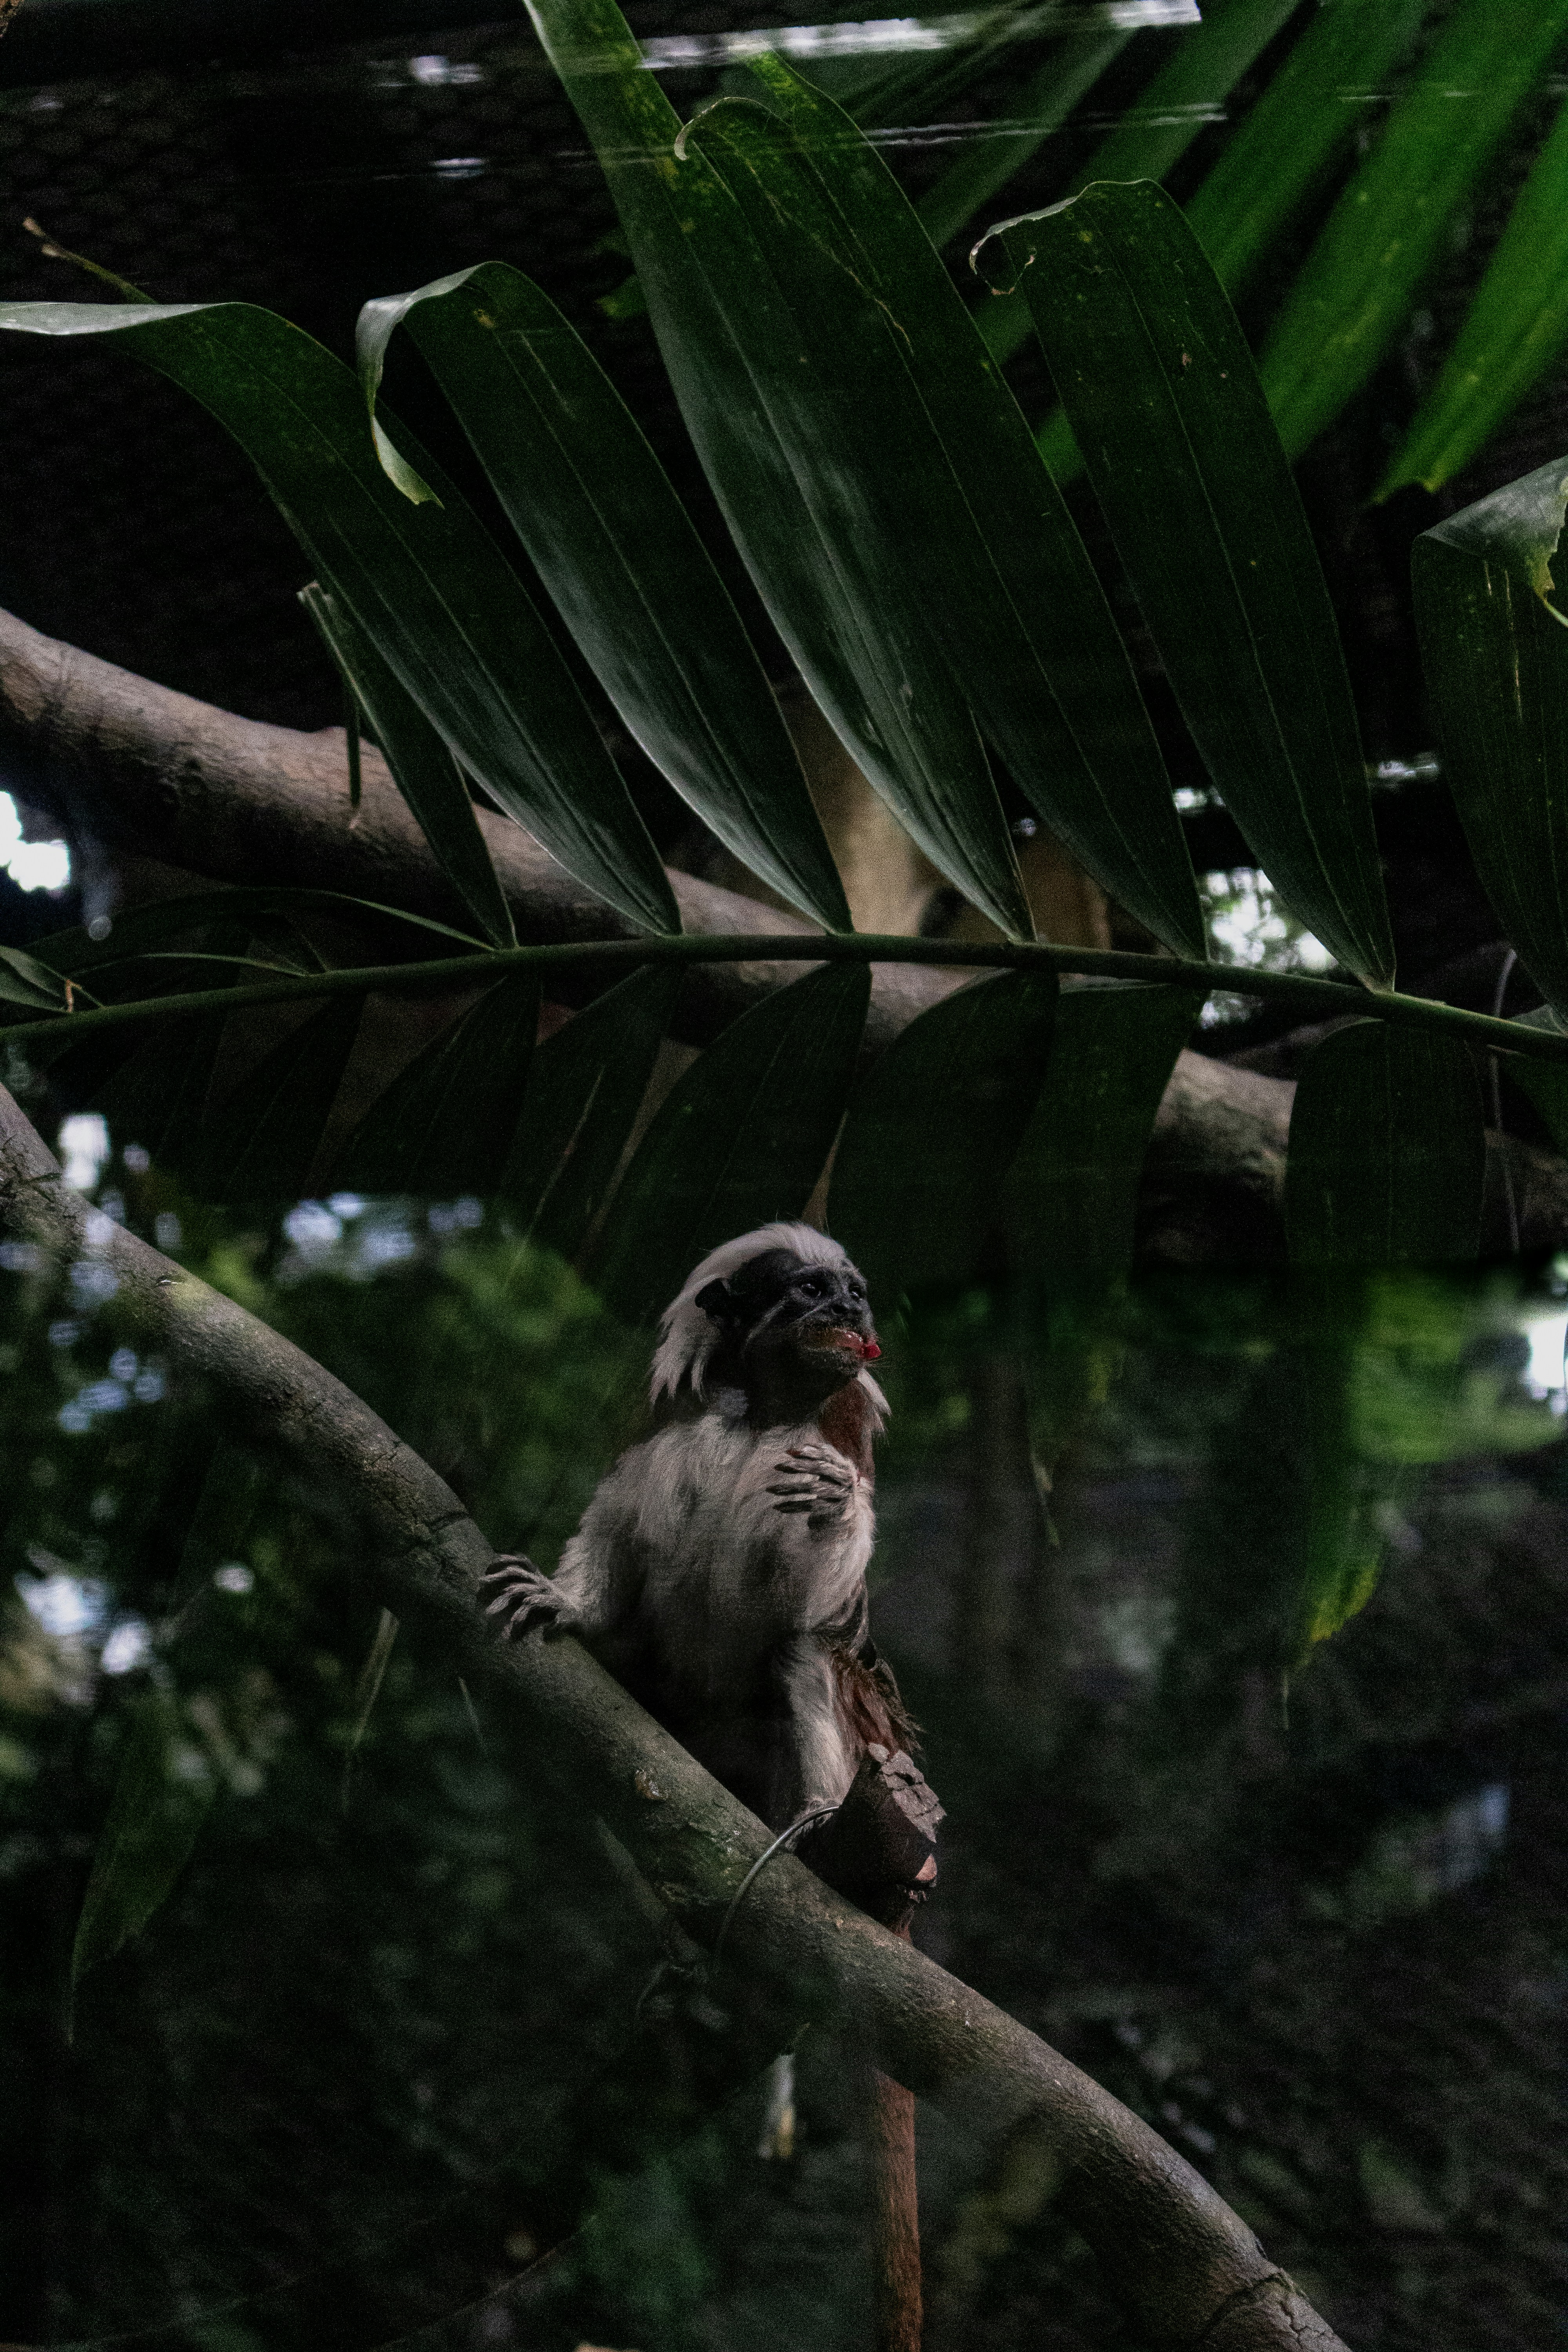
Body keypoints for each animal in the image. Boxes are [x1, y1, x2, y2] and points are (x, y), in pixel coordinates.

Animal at [479, 1222, 936, 2352]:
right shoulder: (667, 1448)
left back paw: (815, 1828)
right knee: (625, 1767)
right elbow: (618, 1541)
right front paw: (567, 1603)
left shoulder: (828, 1445)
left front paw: (837, 1513)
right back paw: (686, 1940)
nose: (853, 1307)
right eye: (812, 1291)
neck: (759, 1420)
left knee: (800, 1663)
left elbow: (818, 1612)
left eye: (855, 1292)